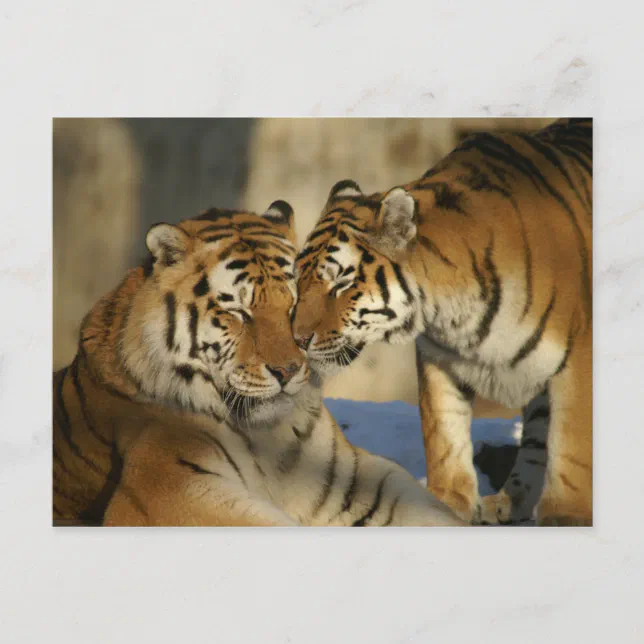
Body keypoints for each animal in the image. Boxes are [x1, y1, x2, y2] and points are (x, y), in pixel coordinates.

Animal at [53, 201, 464, 527]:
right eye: (238, 311)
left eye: (296, 303)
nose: (287, 370)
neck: (271, 436)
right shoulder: (167, 491)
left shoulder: (352, 482)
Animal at [292, 118, 592, 526]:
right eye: (299, 279)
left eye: (340, 284)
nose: (297, 338)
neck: (451, 311)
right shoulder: (440, 358)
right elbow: (445, 435)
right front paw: (447, 504)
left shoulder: (578, 355)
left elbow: (572, 446)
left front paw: (567, 517)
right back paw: (507, 502)